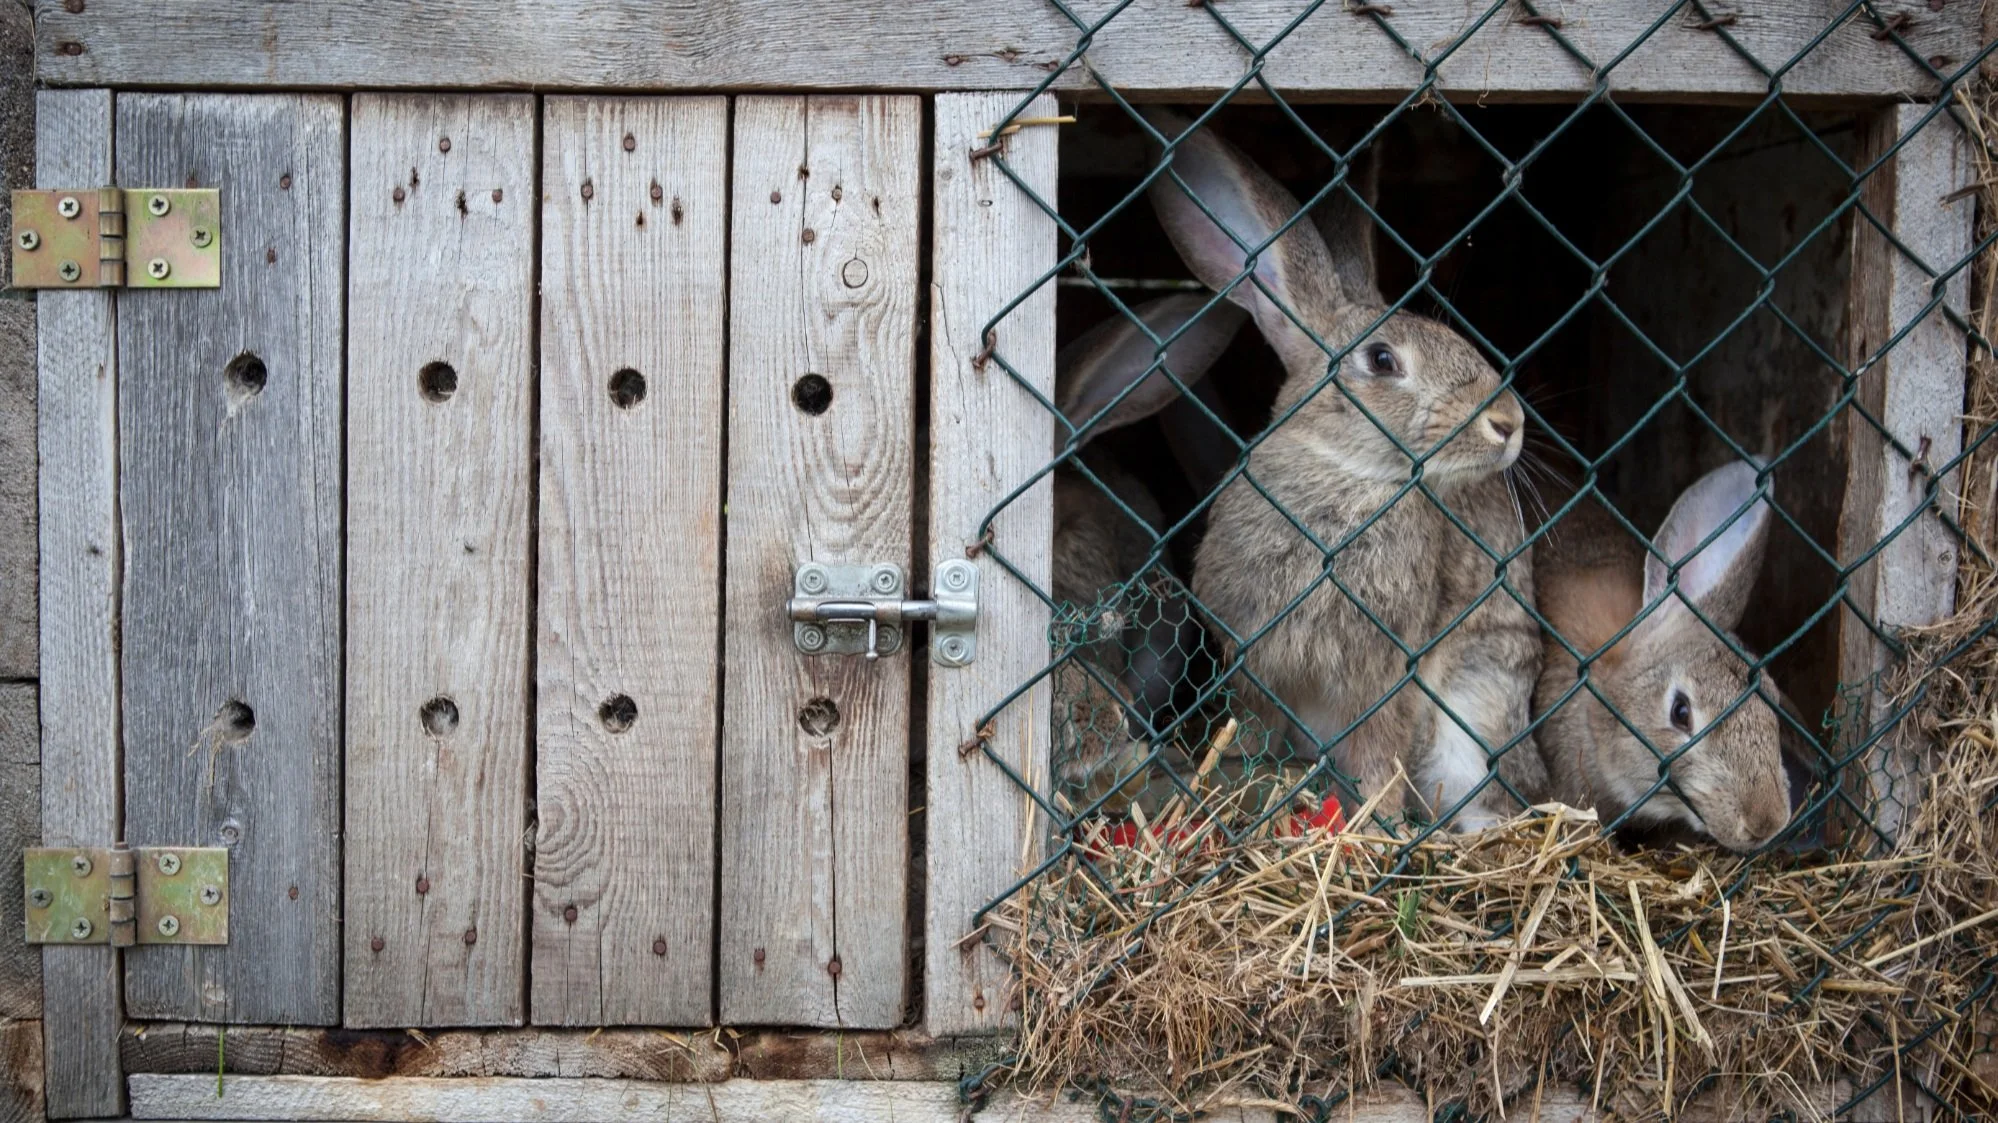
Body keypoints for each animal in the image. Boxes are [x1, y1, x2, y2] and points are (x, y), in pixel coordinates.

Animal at [1144, 109, 1534, 820]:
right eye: (1380, 360)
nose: (1508, 423)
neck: (1348, 476)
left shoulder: (1389, 672)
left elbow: (1382, 746)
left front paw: (1379, 819)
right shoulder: (1253, 662)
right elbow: (1255, 726)